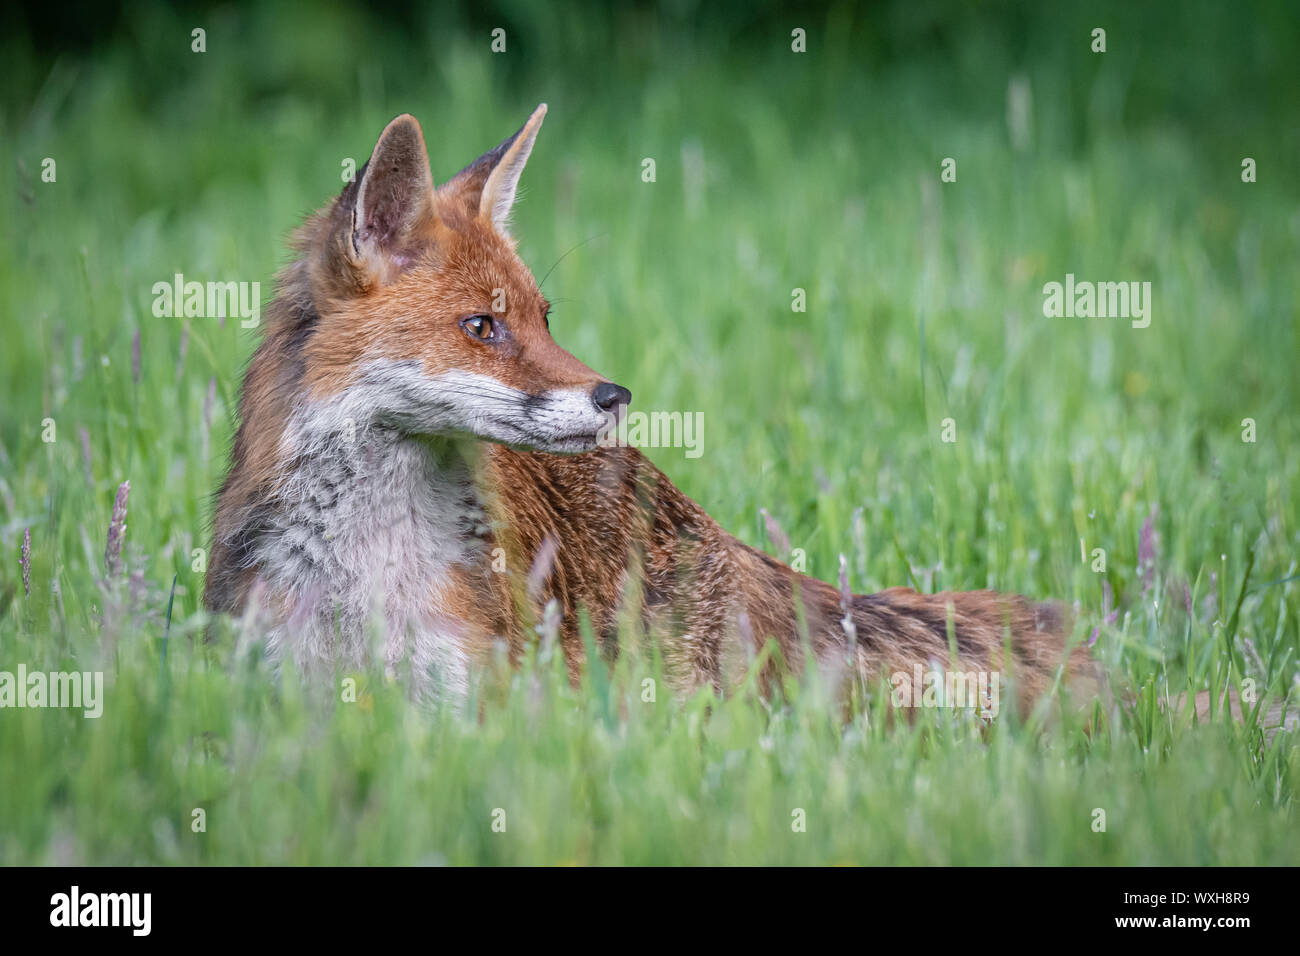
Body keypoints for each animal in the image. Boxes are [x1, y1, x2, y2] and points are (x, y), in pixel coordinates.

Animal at [205, 106, 1097, 717]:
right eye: (482, 327)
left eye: (545, 318)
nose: (614, 398)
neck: (367, 575)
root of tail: (725, 541)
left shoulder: (478, 702)